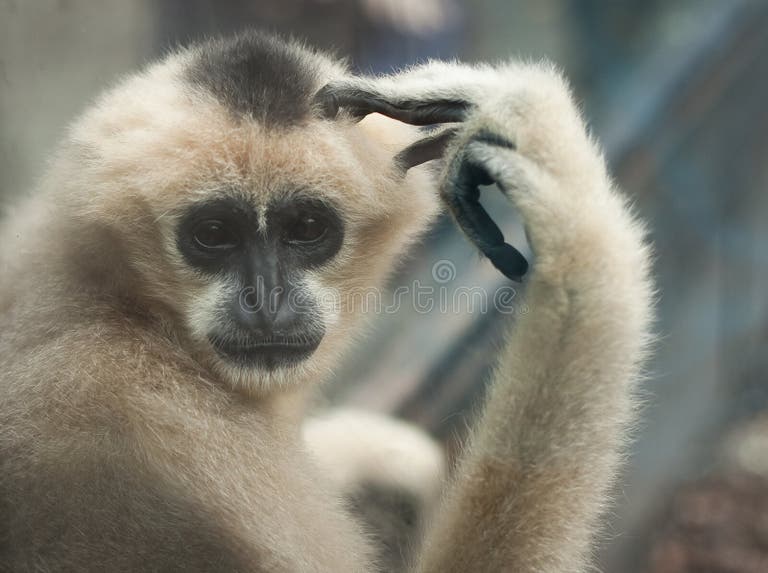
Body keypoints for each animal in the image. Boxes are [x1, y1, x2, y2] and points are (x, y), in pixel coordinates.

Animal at [0, 31, 654, 572]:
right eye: (213, 233)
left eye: (307, 228)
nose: (266, 299)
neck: (118, 305)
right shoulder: (153, 416)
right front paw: (578, 229)